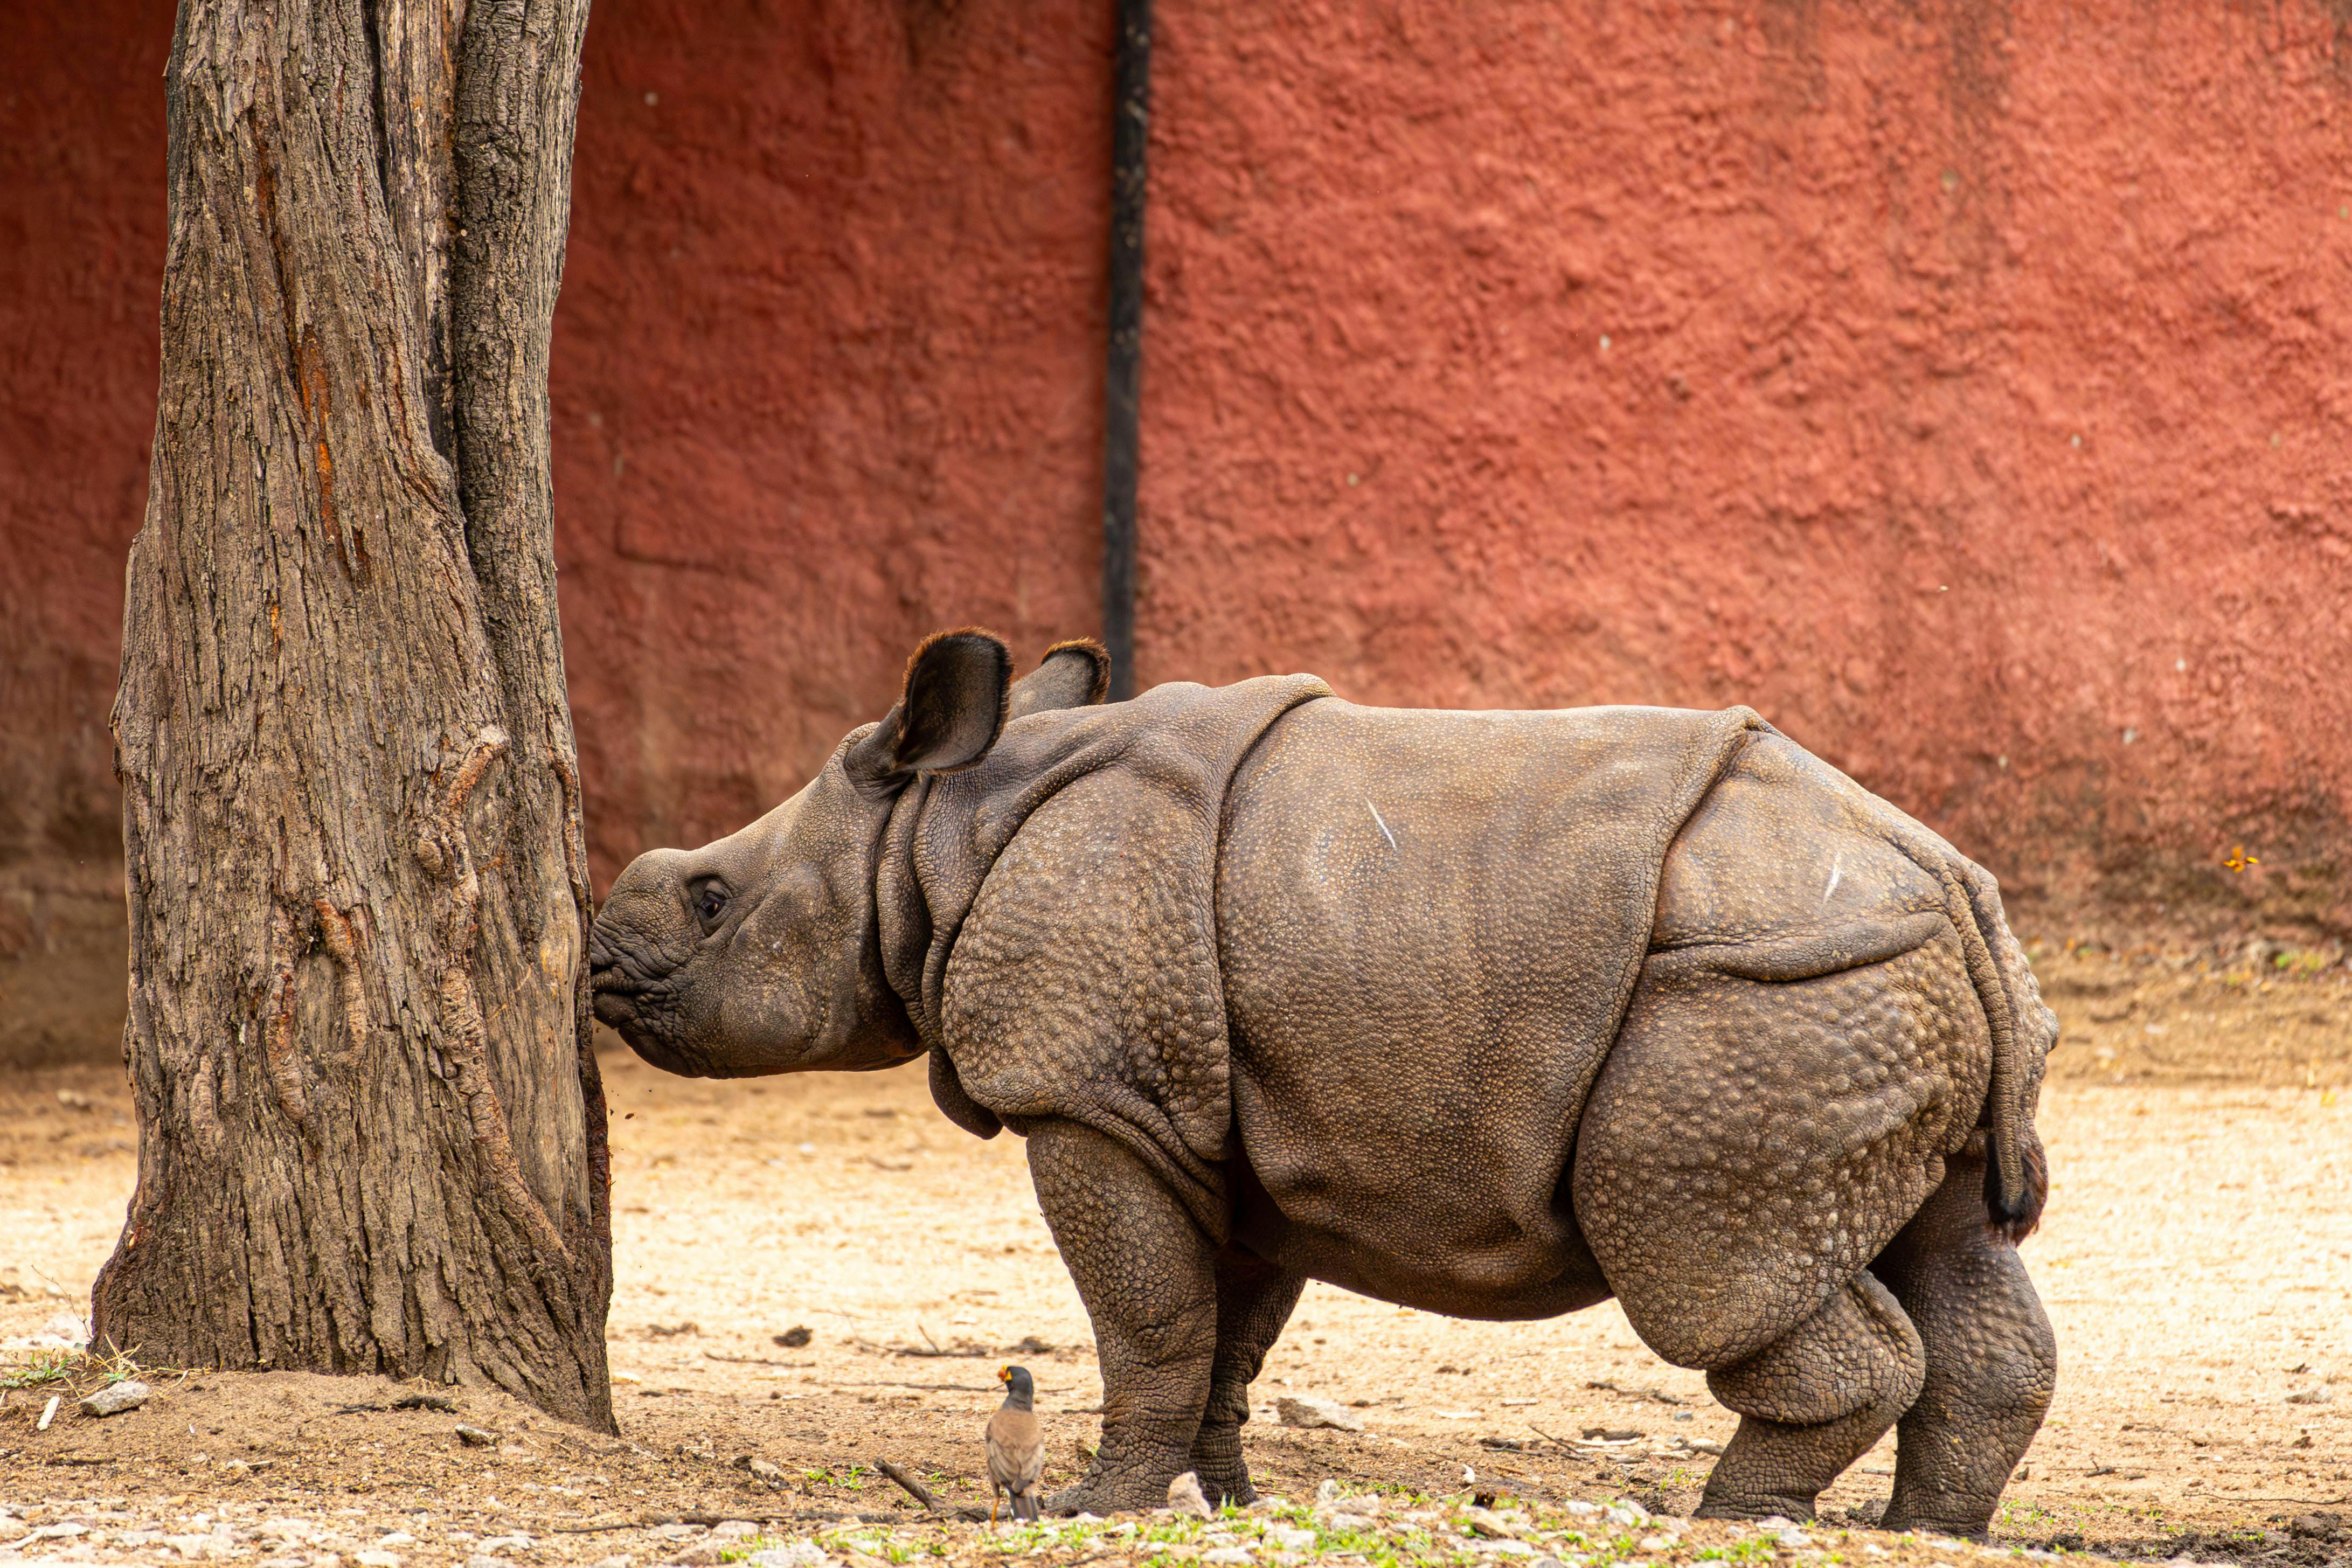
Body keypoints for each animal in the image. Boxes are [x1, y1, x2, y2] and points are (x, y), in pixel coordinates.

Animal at [590, 630, 2057, 1535]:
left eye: (709, 899)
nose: (595, 961)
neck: (935, 832)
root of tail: (1955, 887)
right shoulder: (1212, 1113)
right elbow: (1221, 1324)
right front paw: (1220, 1498)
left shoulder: (1090, 1093)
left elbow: (1147, 1314)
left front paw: (1094, 1507)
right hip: (1872, 983)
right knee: (1952, 1244)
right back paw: (1926, 1529)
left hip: (1757, 995)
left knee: (1707, 1264)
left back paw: (1731, 1519)